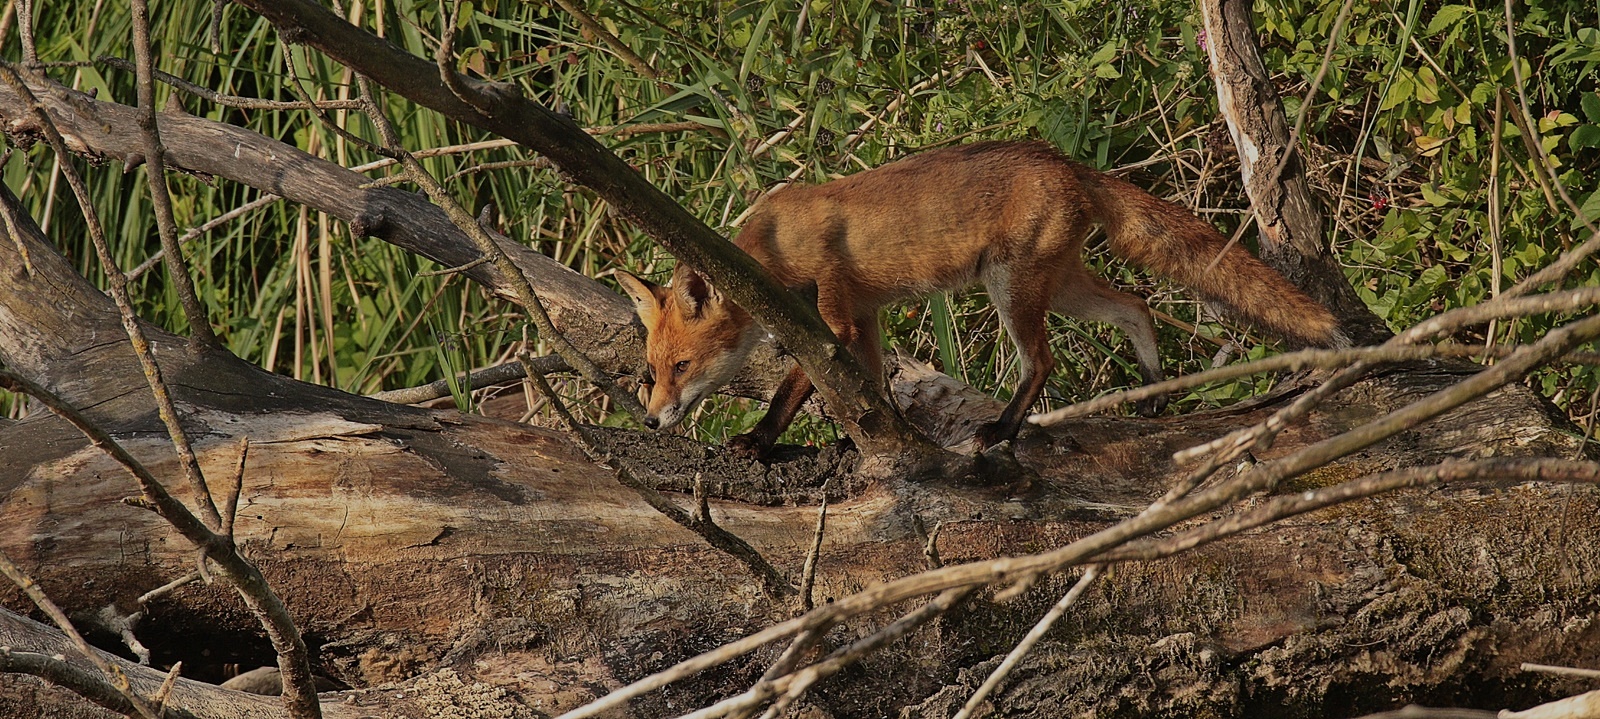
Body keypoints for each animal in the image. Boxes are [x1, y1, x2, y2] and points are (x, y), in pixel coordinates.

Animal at [618, 141, 1345, 457]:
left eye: (682, 367)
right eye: (651, 372)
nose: (650, 422)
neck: (768, 251)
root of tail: (1064, 161)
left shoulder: (832, 324)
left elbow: (793, 391)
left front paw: (758, 439)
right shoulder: (866, 318)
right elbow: (873, 392)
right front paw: (875, 442)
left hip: (1012, 289)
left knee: (1042, 362)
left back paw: (1004, 428)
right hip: (1062, 285)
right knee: (1134, 305)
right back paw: (1153, 389)